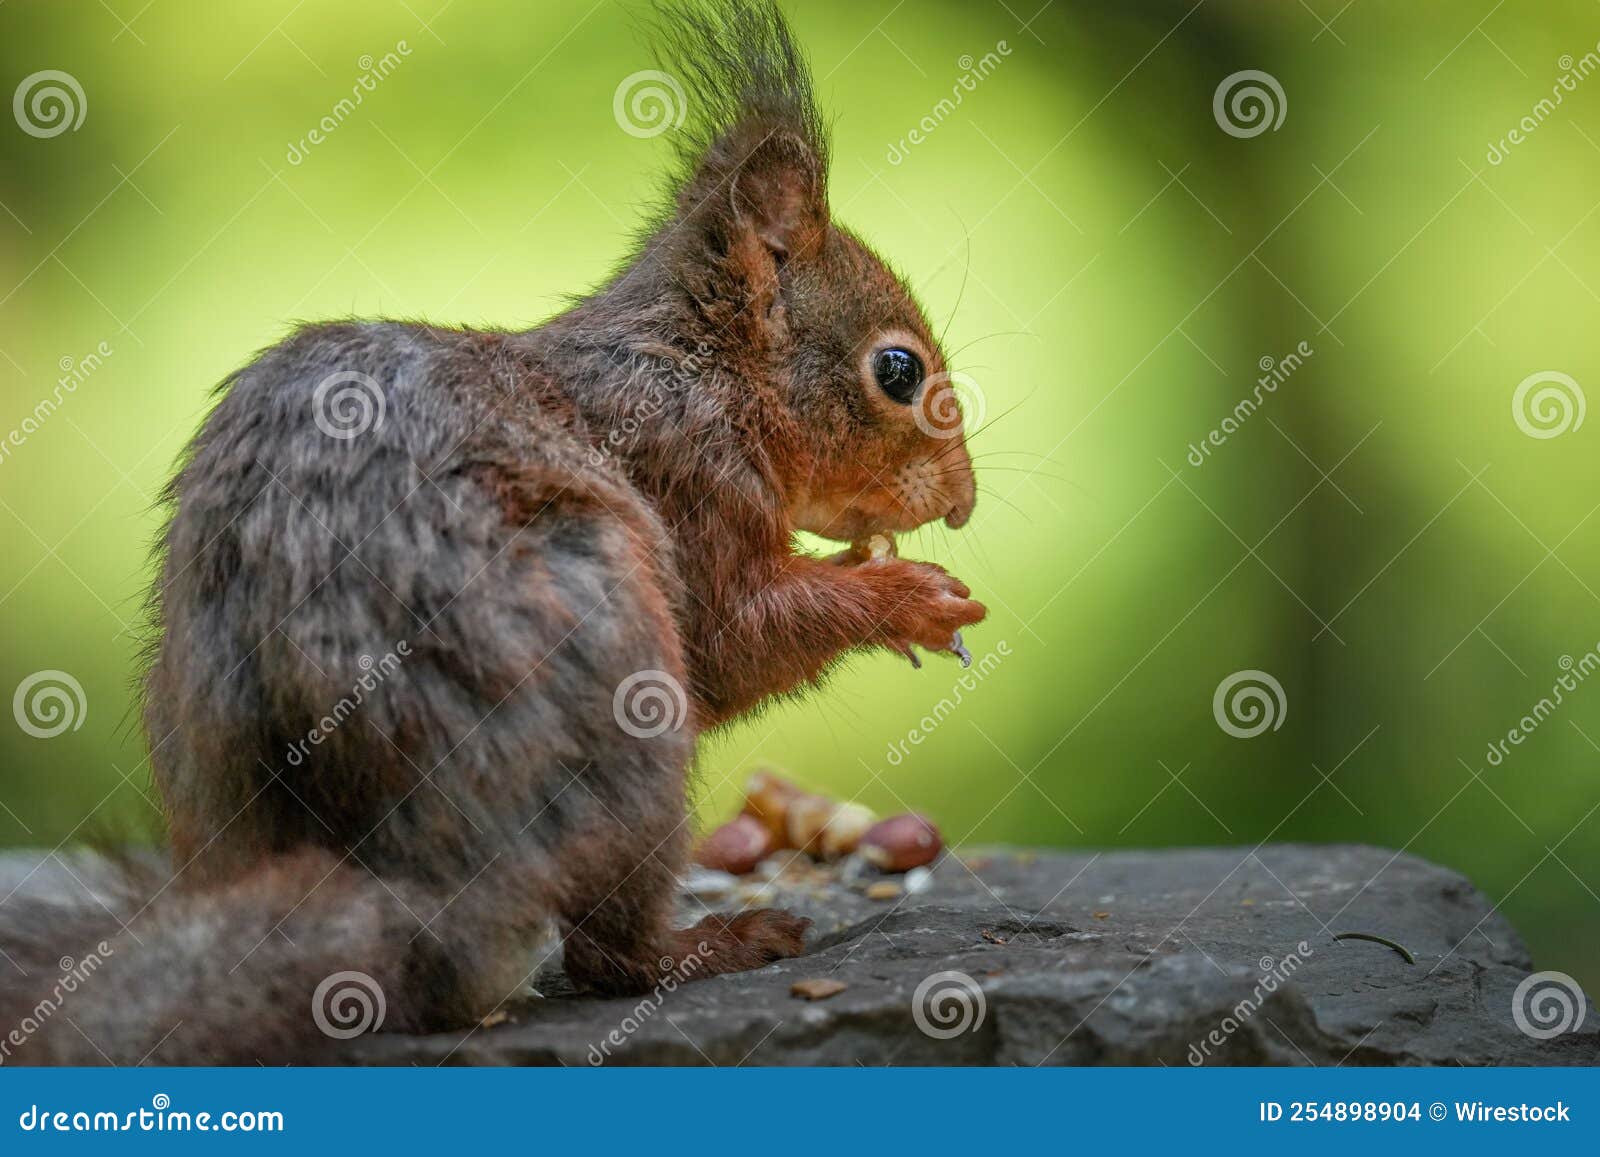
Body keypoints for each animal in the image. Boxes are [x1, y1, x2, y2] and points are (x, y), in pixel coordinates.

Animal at [0, 0, 984, 1065]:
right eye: (897, 370)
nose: (965, 502)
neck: (699, 365)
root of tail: (415, 874)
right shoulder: (688, 475)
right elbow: (733, 634)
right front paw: (908, 596)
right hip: (623, 696)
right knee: (612, 955)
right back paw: (718, 940)